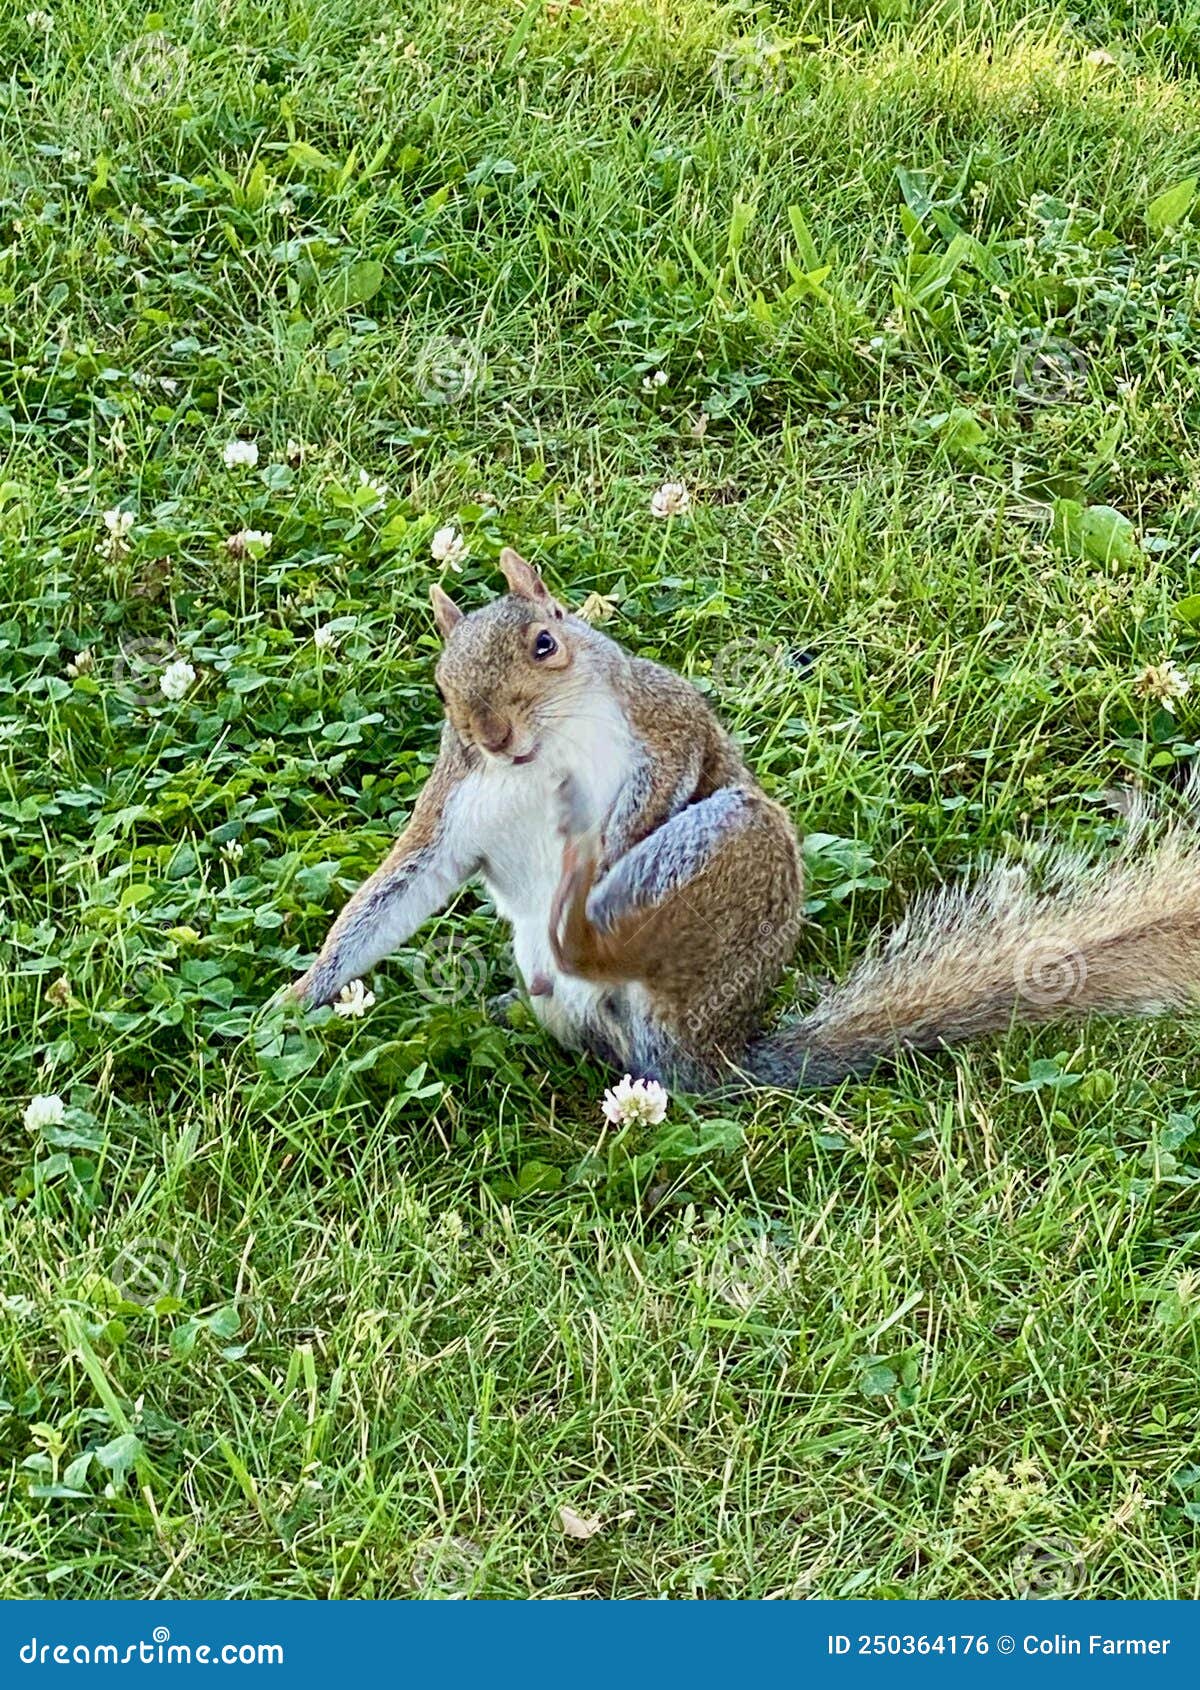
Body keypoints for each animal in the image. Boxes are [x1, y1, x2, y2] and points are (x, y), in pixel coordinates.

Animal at [292, 548, 1200, 1092]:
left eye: (547, 643)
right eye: (443, 685)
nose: (492, 734)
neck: (537, 761)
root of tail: (715, 1050)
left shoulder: (663, 722)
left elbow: (664, 780)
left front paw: (608, 845)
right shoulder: (453, 811)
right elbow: (391, 897)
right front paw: (299, 998)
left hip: (734, 844)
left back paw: (582, 893)